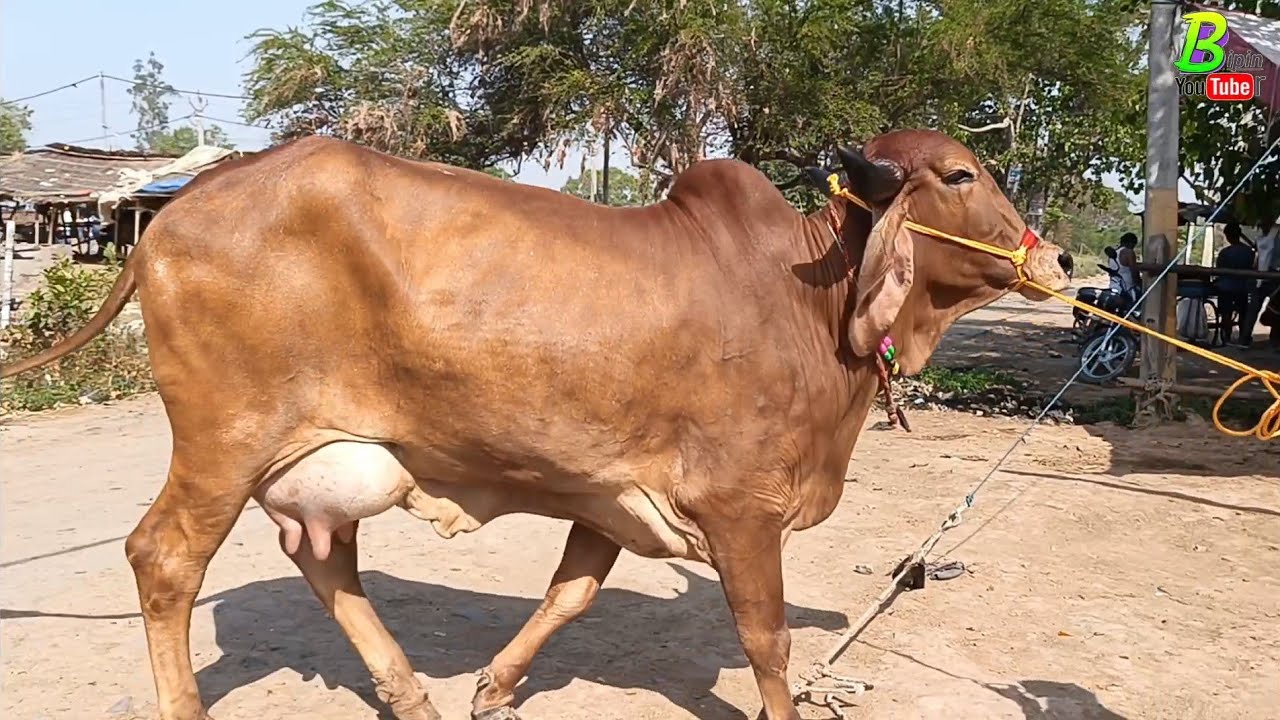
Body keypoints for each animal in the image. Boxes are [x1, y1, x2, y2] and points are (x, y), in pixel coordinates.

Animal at [2, 129, 1072, 720]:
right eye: (960, 175)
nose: (1058, 259)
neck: (808, 299)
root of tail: (179, 209)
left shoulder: (609, 497)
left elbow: (570, 595)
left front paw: (493, 689)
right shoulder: (741, 511)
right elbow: (766, 641)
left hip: (320, 459)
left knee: (324, 560)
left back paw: (410, 695)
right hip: (223, 443)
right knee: (165, 559)